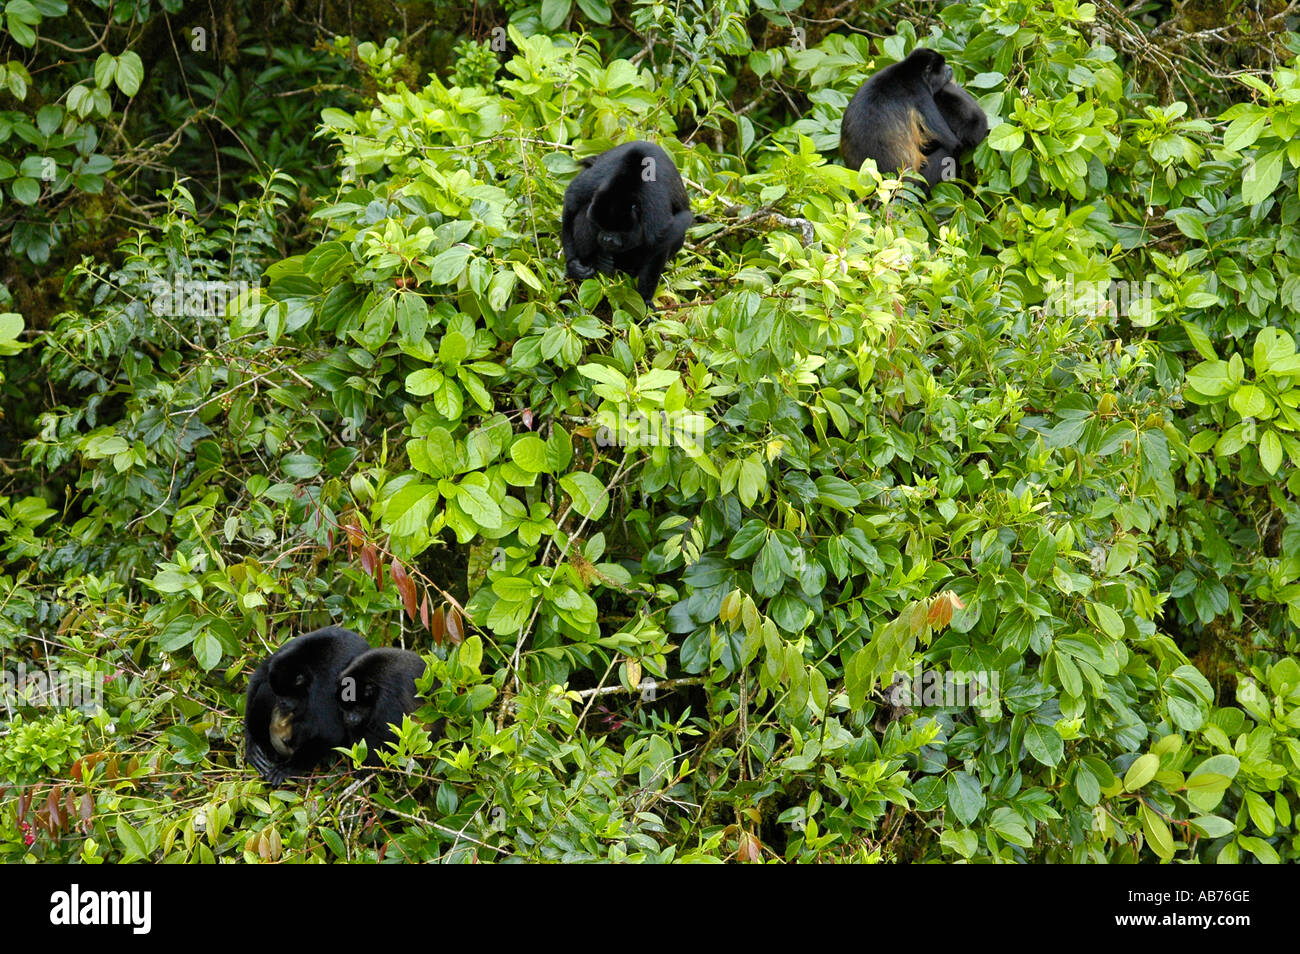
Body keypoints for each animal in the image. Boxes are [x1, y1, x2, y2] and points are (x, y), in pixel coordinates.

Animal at [244, 625, 369, 785]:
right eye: (280, 694)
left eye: (288, 694)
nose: (282, 702)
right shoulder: (282, 655)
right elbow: (258, 678)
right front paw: (252, 746)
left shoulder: (325, 685)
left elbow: (330, 732)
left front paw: (287, 769)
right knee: (265, 688)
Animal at [562, 140, 693, 306]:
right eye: (600, 227)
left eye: (620, 231)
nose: (607, 239)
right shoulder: (596, 179)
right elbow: (571, 203)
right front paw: (573, 265)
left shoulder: (655, 203)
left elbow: (658, 243)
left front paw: (645, 299)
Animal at [840, 48, 988, 193]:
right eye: (942, 67)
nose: (950, 68)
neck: (909, 72)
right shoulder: (921, 94)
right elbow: (953, 143)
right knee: (947, 153)